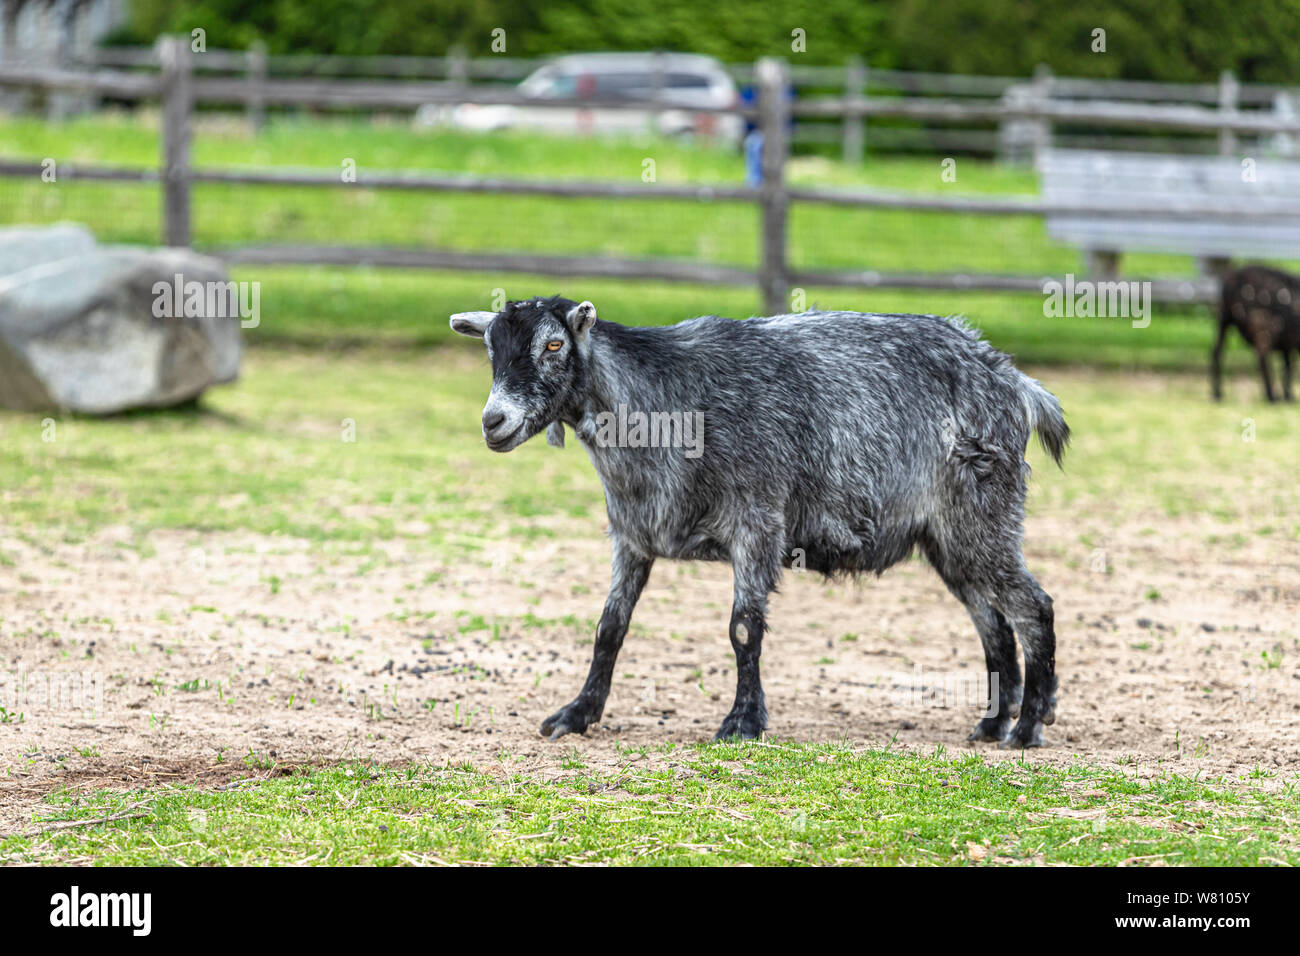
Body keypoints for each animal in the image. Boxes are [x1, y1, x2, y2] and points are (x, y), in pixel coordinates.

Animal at [450, 296, 1069, 748]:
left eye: (553, 344)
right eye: (490, 350)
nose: (492, 422)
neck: (664, 407)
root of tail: (1015, 383)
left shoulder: (757, 523)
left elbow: (743, 628)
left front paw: (742, 722)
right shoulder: (632, 535)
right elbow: (610, 627)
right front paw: (576, 714)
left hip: (983, 513)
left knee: (1034, 607)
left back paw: (1027, 727)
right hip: (947, 539)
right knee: (994, 625)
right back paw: (991, 723)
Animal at [1212, 265, 1300, 402]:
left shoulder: (1287, 343)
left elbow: (1288, 366)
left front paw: (1288, 396)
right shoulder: (1289, 341)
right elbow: (1289, 367)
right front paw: (1288, 397)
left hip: (1224, 318)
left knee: (1217, 352)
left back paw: (1218, 394)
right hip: (1263, 326)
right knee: (1262, 357)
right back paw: (1271, 396)